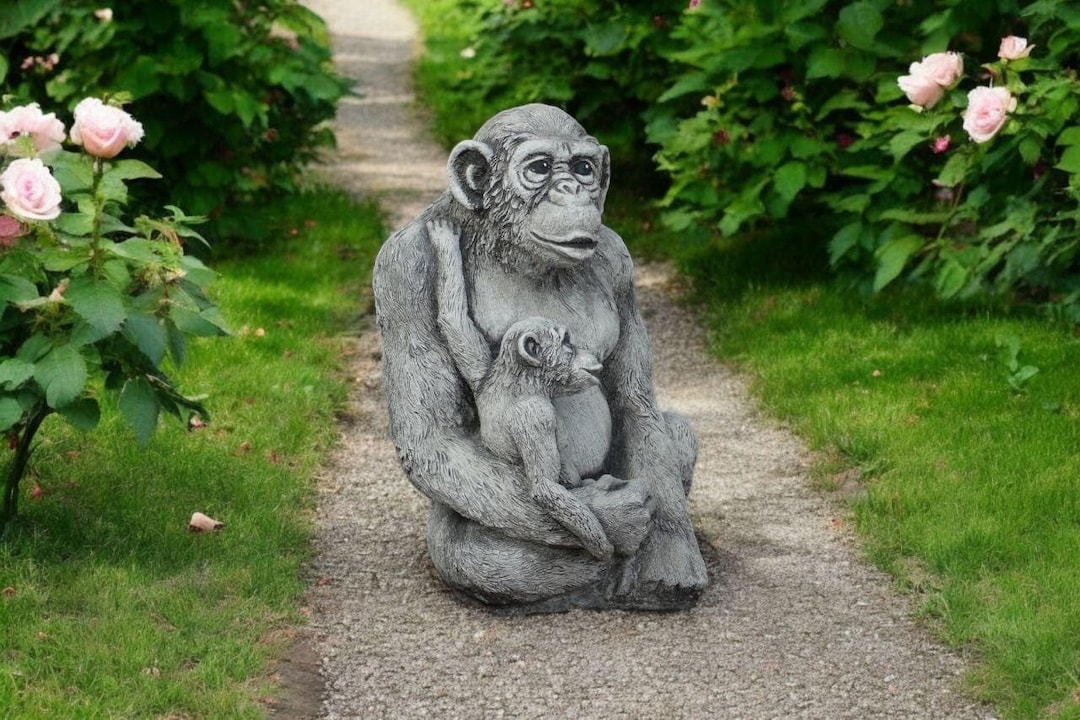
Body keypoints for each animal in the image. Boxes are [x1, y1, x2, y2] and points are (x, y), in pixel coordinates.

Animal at [426, 217, 613, 560]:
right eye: (566, 342)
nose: (583, 350)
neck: (522, 385)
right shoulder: (535, 416)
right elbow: (545, 486)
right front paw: (604, 546)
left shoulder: (481, 374)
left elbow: (454, 319)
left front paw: (444, 242)